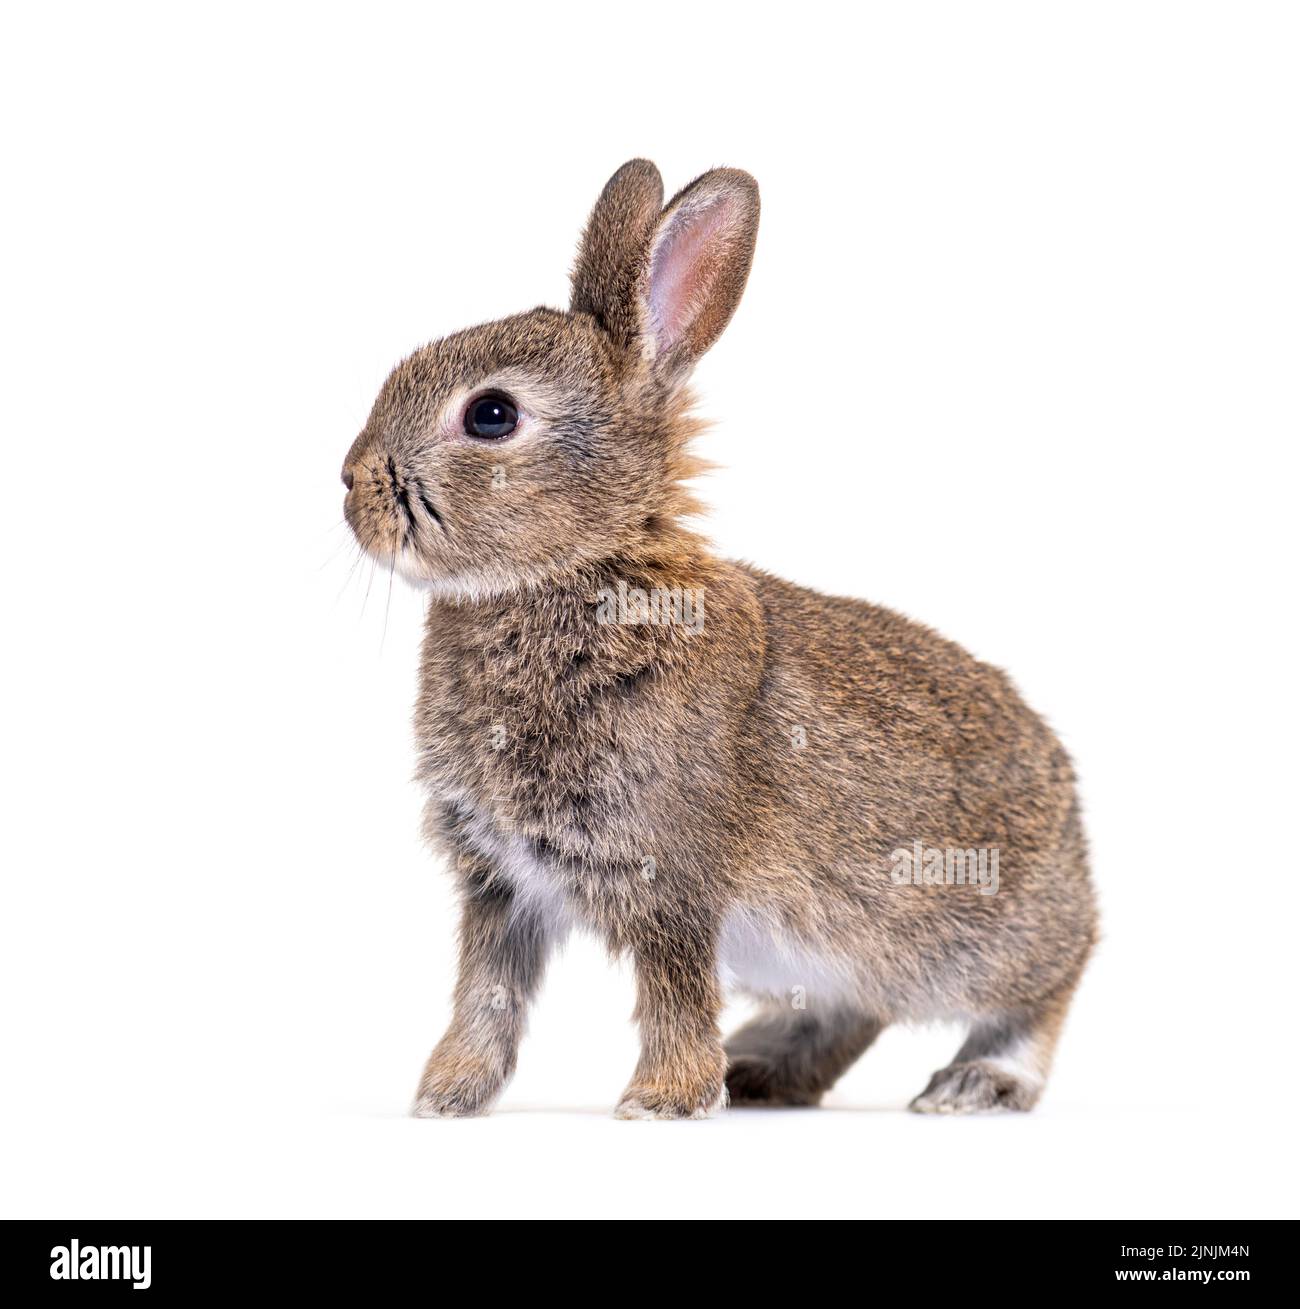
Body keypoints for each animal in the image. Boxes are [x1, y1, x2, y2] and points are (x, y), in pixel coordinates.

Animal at [341, 159, 1097, 1120]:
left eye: (492, 416)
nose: (350, 485)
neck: (582, 571)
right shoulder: (503, 880)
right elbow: (487, 995)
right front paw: (447, 1096)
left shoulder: (668, 875)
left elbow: (670, 991)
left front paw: (660, 1102)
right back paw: (762, 1067)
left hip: (980, 934)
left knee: (1044, 989)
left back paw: (978, 1081)